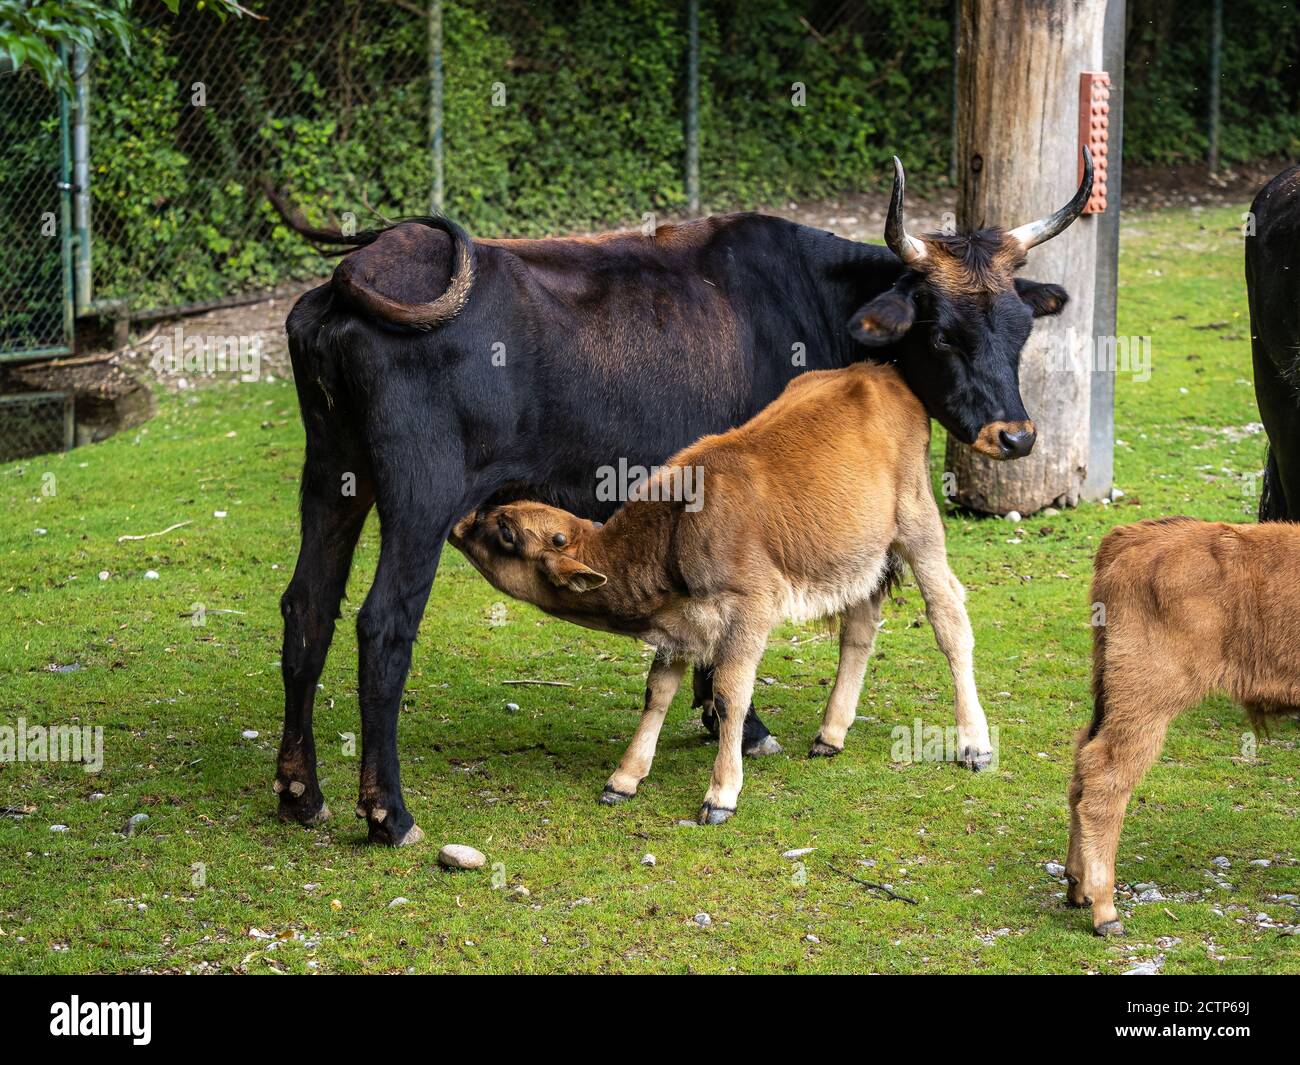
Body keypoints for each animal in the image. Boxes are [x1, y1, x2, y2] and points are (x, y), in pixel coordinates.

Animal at [450, 359, 987, 824]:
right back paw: (831, 734)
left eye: (506, 532)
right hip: (859, 560)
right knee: (858, 629)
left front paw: (721, 792)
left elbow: (730, 695)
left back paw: (973, 743)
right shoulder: (679, 626)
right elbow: (657, 692)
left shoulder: (750, 609)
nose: (460, 520)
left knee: (949, 622)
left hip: (919, 529)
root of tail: (876, 370)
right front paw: (625, 777)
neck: (674, 528)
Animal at [1067, 517, 1300, 936]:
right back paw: (1106, 912)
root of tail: (1134, 536)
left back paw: (1077, 889)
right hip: (1146, 700)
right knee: (1104, 776)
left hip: (1108, 696)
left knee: (1081, 764)